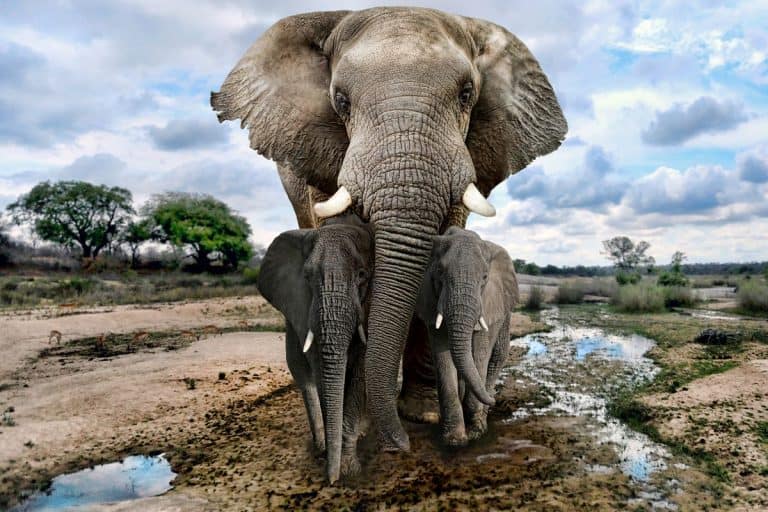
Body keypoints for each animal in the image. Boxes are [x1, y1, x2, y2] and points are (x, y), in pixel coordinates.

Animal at [257, 213, 373, 483]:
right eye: (307, 277)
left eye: (362, 275)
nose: (331, 481)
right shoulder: (304, 307)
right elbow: (319, 366)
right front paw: (337, 462)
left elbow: (361, 365)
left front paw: (348, 469)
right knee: (301, 372)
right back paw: (320, 446)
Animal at [416, 227, 518, 446]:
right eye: (439, 272)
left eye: (485, 277)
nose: (495, 399)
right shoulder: (431, 299)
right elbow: (443, 356)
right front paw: (454, 440)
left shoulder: (489, 302)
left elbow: (480, 352)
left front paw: (476, 432)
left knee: (497, 356)